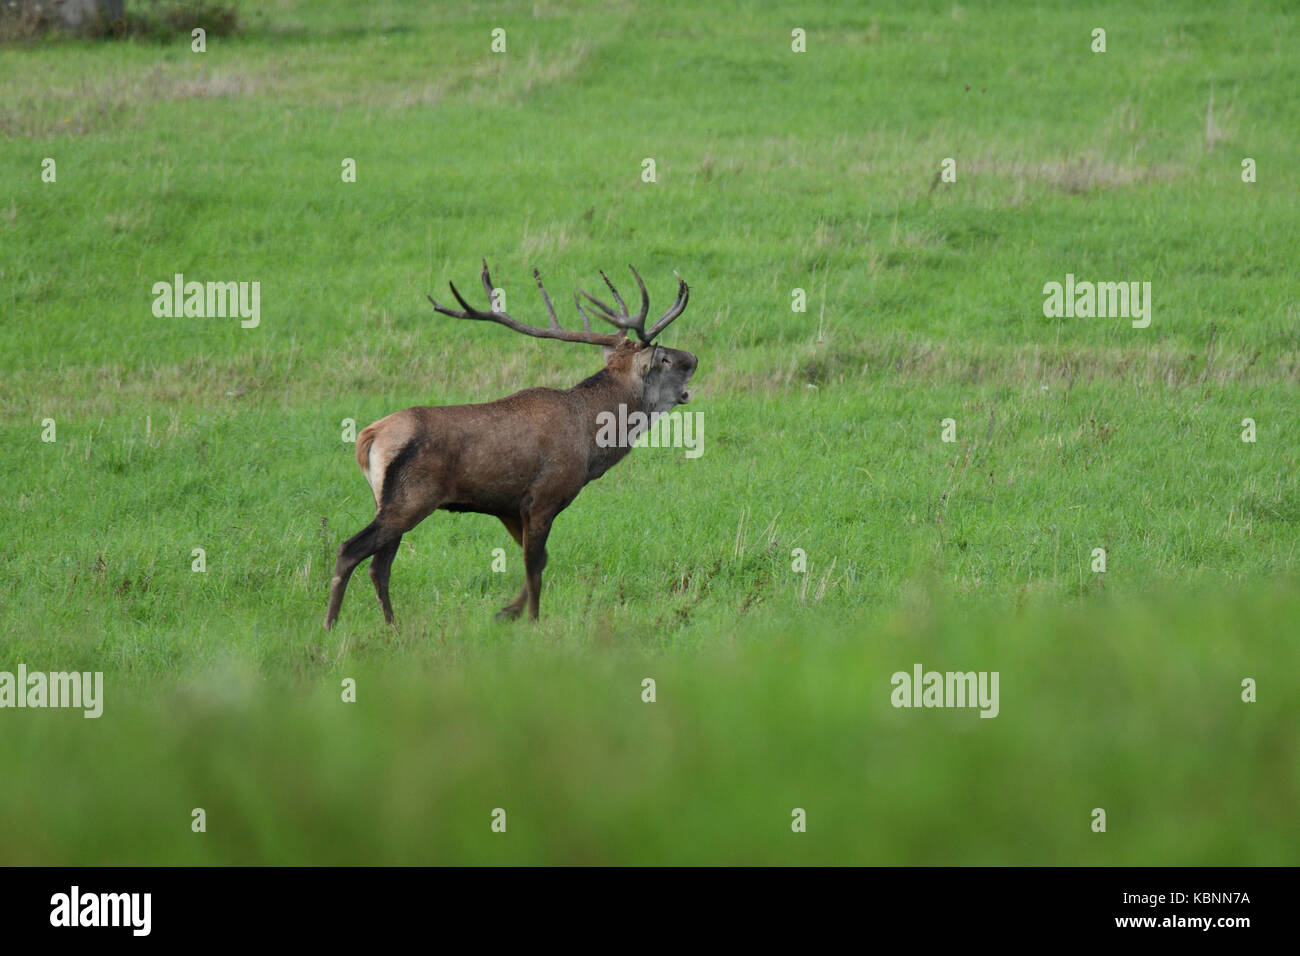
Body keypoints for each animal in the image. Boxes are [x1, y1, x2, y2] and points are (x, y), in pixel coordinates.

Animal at [323, 261, 698, 630]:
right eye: (664, 358)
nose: (693, 358)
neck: (591, 441)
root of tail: (369, 437)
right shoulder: (544, 496)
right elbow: (535, 566)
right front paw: (531, 619)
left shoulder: (508, 507)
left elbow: (539, 560)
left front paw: (508, 611)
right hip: (411, 498)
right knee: (350, 550)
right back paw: (331, 625)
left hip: (388, 501)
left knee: (379, 566)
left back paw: (392, 627)